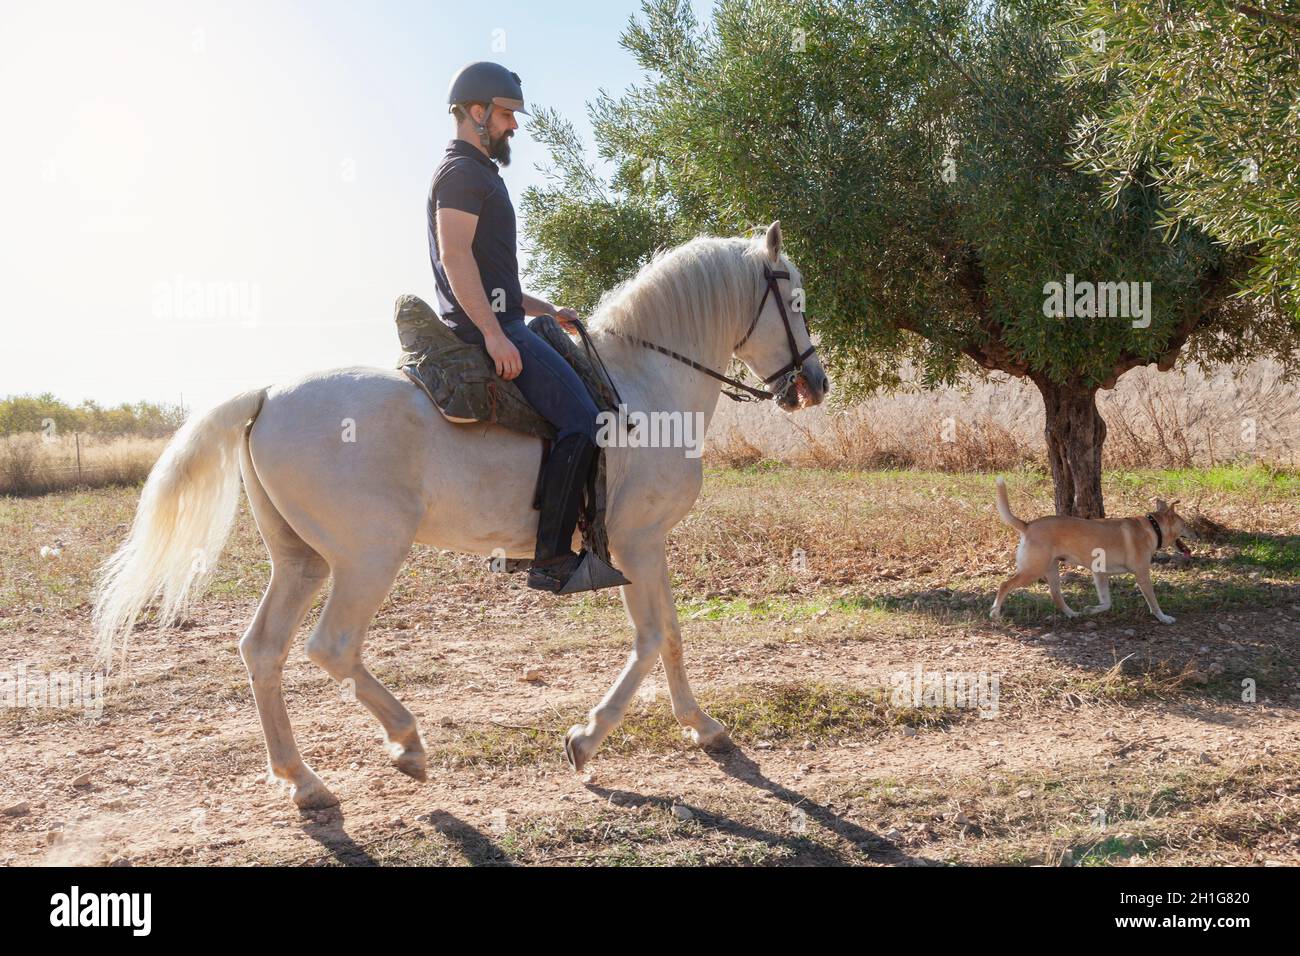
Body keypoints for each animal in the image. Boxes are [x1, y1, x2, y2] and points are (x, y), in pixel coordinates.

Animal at [92, 221, 829, 809]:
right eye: (792, 298)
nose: (815, 384)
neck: (643, 386)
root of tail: (268, 394)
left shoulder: (641, 547)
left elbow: (668, 637)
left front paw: (699, 727)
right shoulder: (638, 544)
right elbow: (653, 639)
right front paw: (591, 739)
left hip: (301, 562)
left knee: (263, 650)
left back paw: (304, 781)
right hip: (368, 558)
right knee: (331, 647)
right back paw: (405, 740)